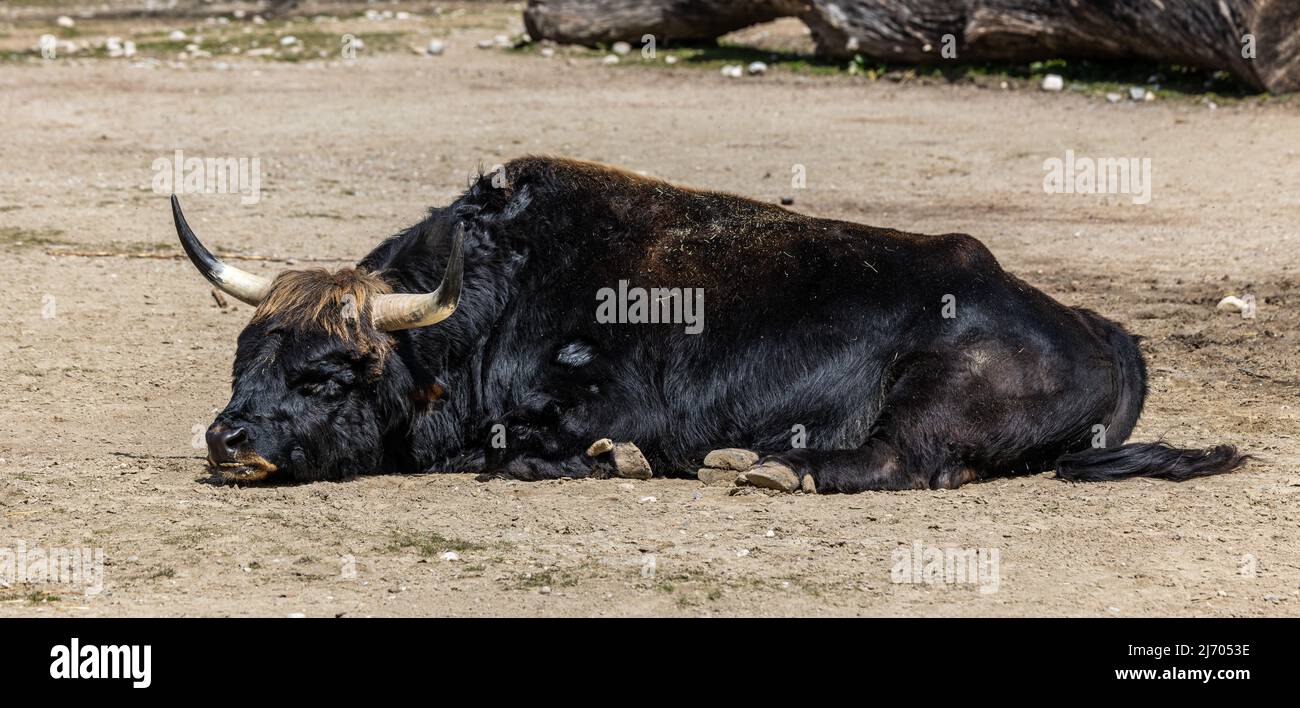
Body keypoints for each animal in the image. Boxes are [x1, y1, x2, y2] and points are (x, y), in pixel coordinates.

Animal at [172, 156, 1246, 492]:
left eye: (330, 372)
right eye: (244, 356)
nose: (227, 439)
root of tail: (1099, 329)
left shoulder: (614, 403)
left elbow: (529, 444)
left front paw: (606, 460)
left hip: (935, 394)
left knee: (895, 461)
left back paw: (767, 467)